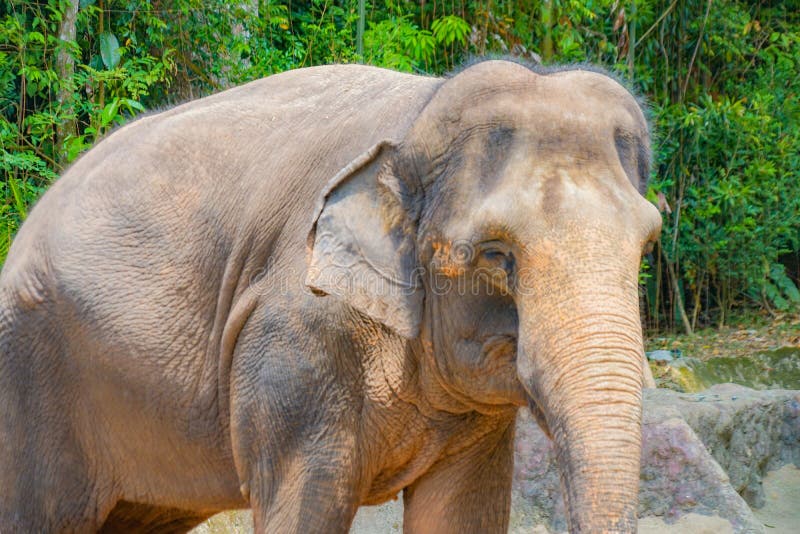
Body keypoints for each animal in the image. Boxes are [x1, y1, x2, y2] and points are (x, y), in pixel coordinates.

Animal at [0, 59, 662, 533]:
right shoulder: (296, 346)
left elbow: (459, 512)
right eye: (497, 253)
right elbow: (306, 507)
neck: (419, 114)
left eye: (647, 242)